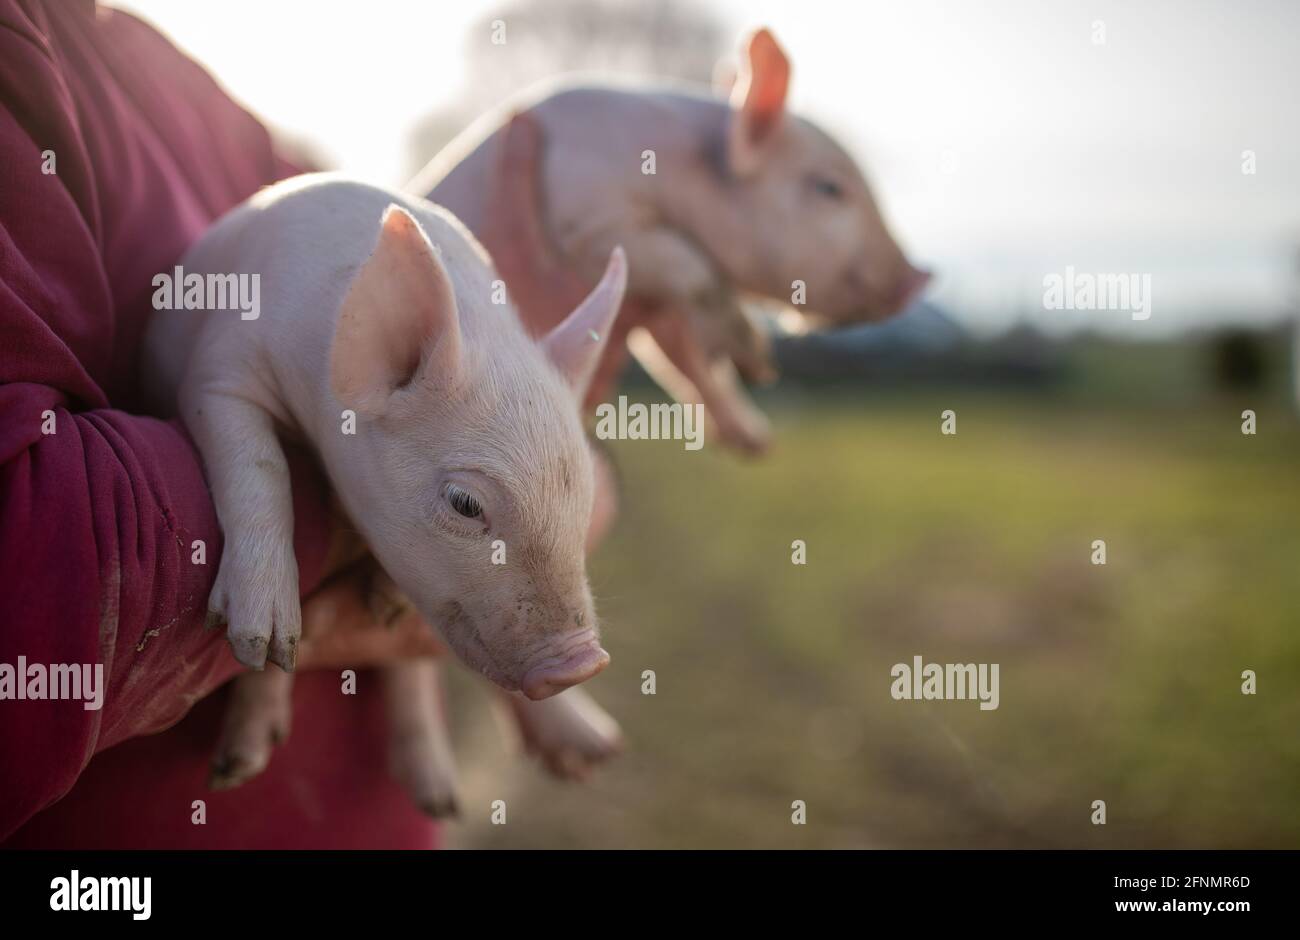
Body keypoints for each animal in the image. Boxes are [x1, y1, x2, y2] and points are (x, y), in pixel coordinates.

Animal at [142, 173, 627, 814]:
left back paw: (462, 790)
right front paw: (261, 641)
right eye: (464, 503)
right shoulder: (218, 369)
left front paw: (383, 600)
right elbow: (258, 463)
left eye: (584, 495)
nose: (583, 662)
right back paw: (237, 765)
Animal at [410, 27, 931, 457]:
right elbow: (691, 271)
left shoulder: (659, 310)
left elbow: (682, 359)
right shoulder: (592, 223)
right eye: (829, 188)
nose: (920, 278)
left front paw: (753, 435)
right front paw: (757, 358)